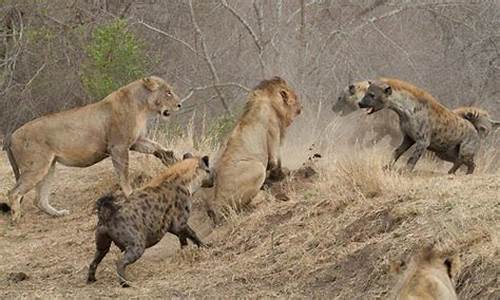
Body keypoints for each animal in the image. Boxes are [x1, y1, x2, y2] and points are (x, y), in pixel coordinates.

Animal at [0, 77, 181, 223]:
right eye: (168, 92)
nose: (180, 105)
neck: (142, 107)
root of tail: (11, 136)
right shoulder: (118, 146)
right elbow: (124, 174)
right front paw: (130, 194)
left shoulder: (135, 141)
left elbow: (155, 146)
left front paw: (170, 158)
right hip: (36, 166)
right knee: (13, 193)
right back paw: (17, 218)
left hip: (49, 166)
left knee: (39, 199)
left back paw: (59, 214)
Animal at [207, 76, 300, 224]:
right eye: (295, 97)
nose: (300, 107)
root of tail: (218, 202)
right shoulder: (274, 134)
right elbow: (276, 163)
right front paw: (282, 174)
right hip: (257, 168)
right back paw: (263, 194)